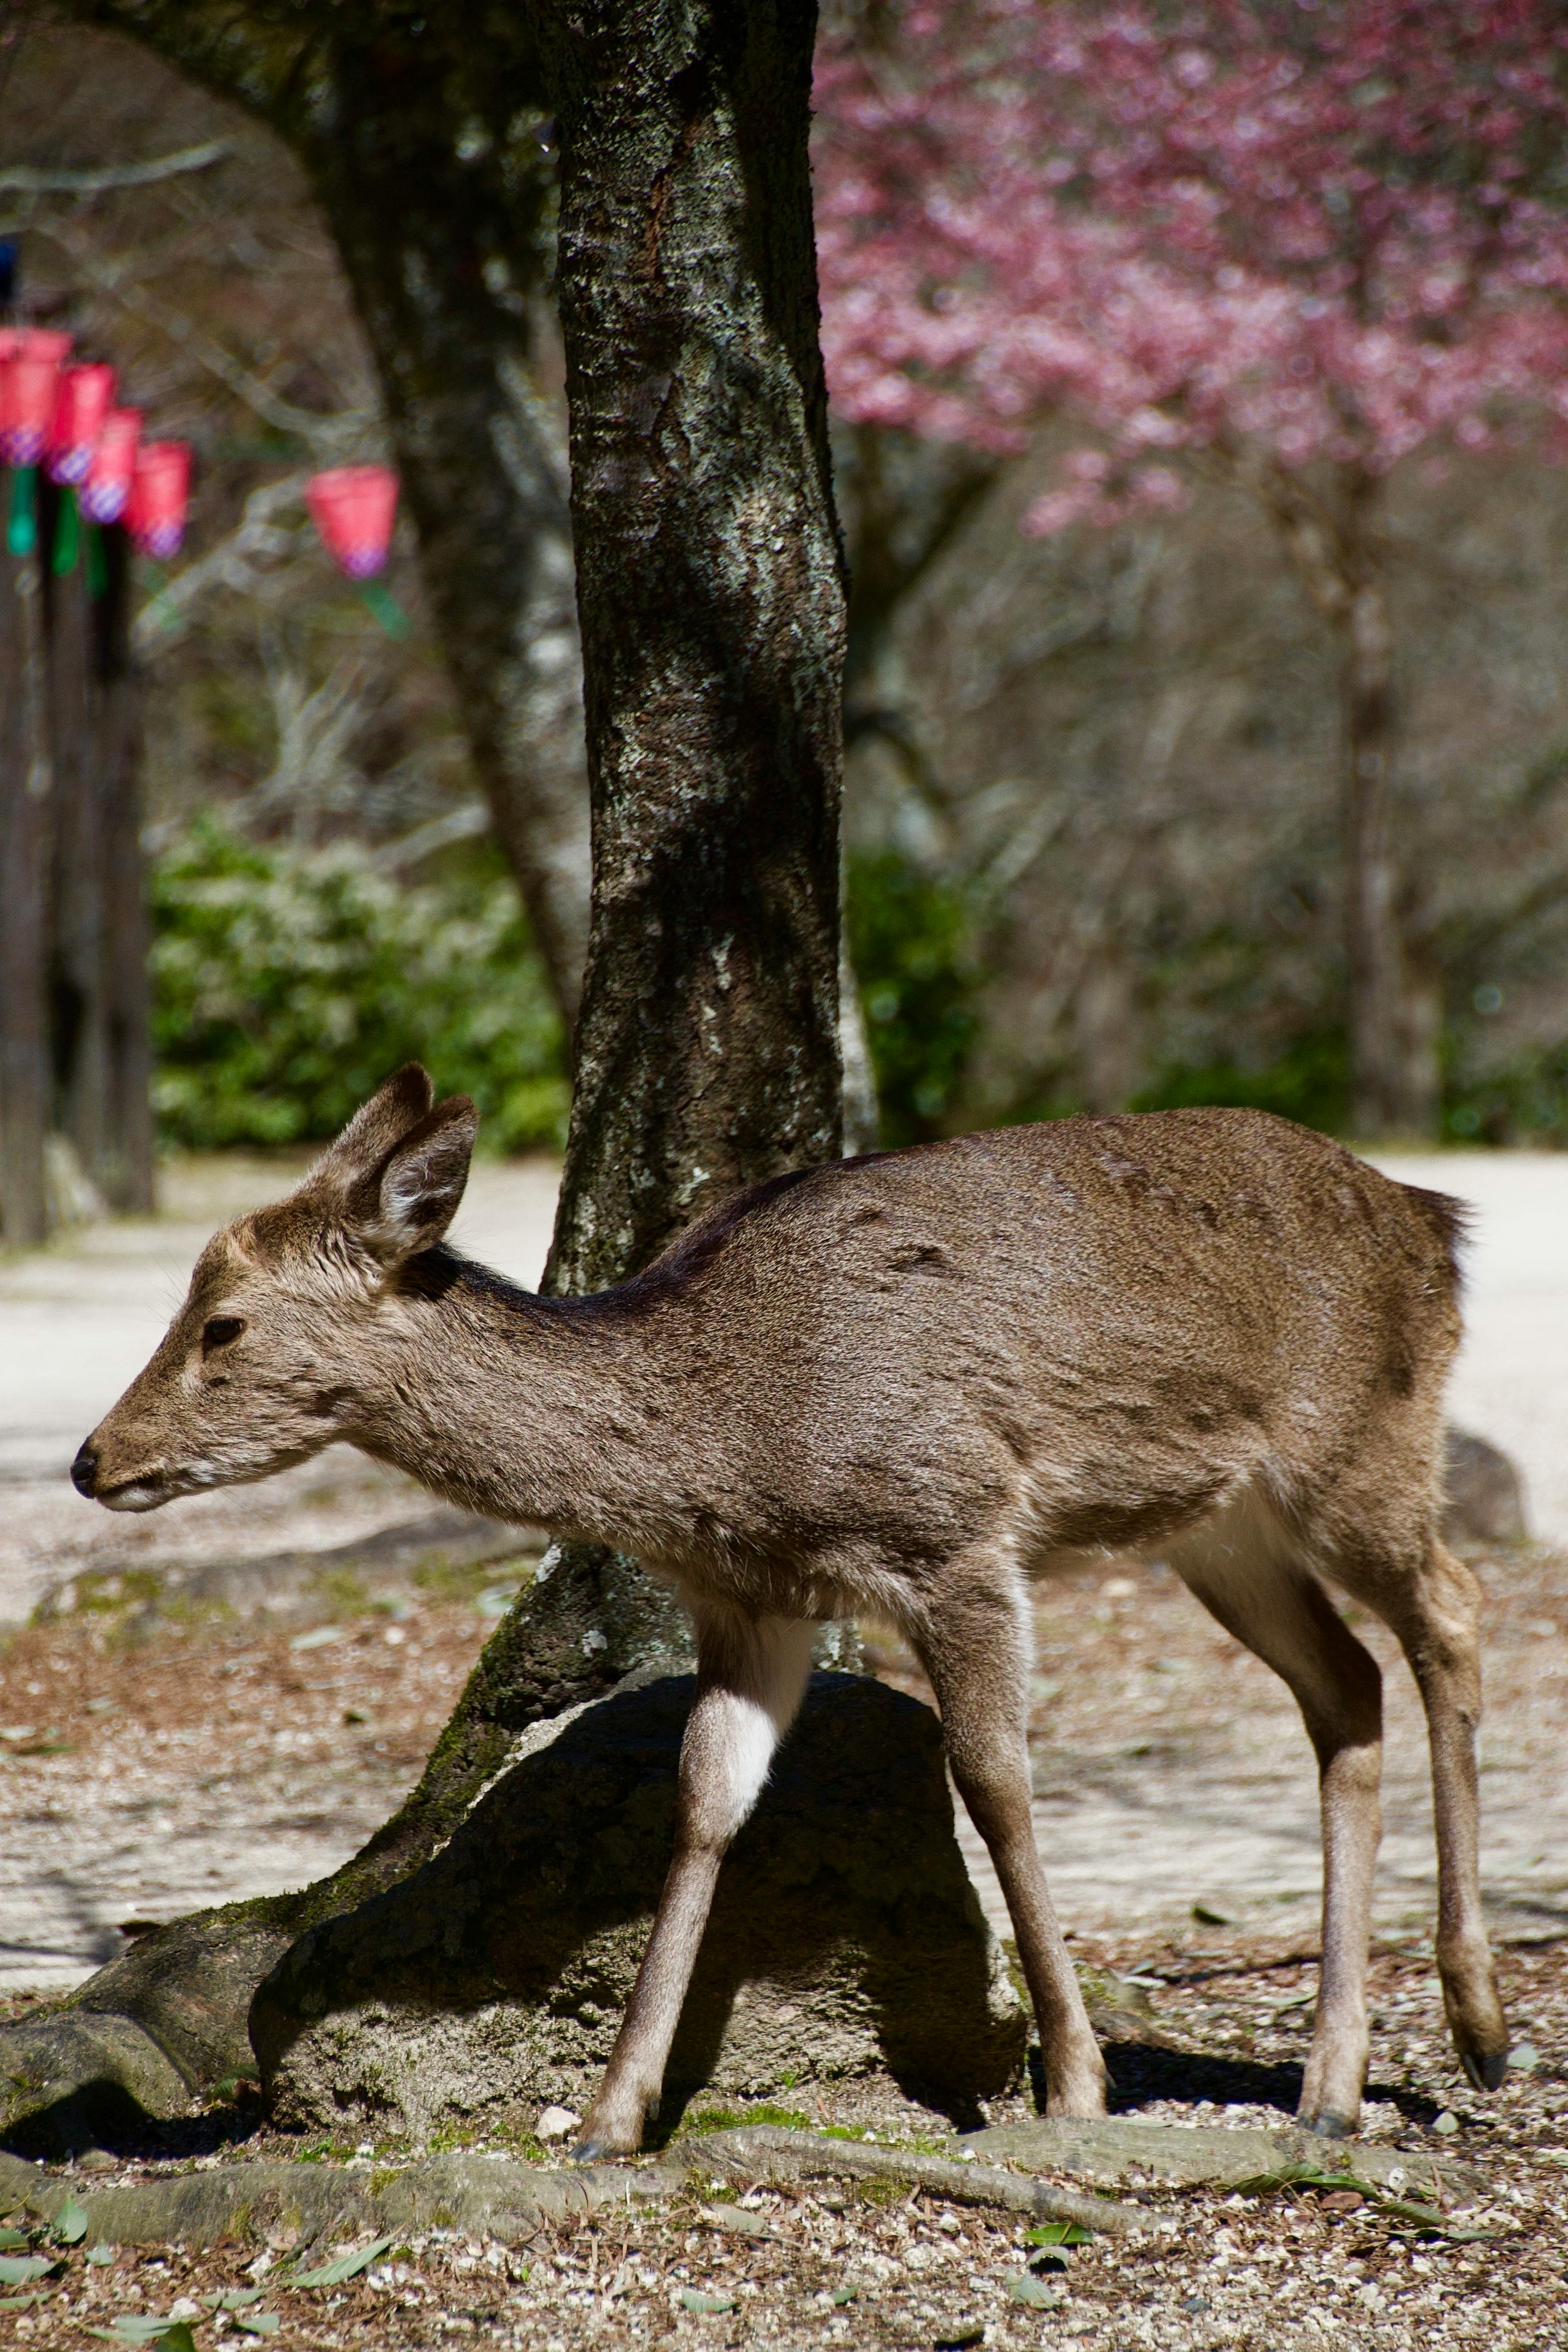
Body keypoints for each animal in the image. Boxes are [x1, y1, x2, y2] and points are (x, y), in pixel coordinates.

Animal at [73, 1064, 1510, 2157]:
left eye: (223, 1323)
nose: (92, 1458)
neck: (731, 1444)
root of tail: (1435, 1224)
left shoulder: (954, 1531)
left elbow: (994, 1778)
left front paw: (1073, 2085)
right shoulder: (752, 1607)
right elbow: (704, 1804)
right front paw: (612, 2115)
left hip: (1359, 1447)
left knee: (1451, 1612)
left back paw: (1479, 2026)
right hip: (1219, 1528)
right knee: (1344, 1685)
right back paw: (1328, 2091)